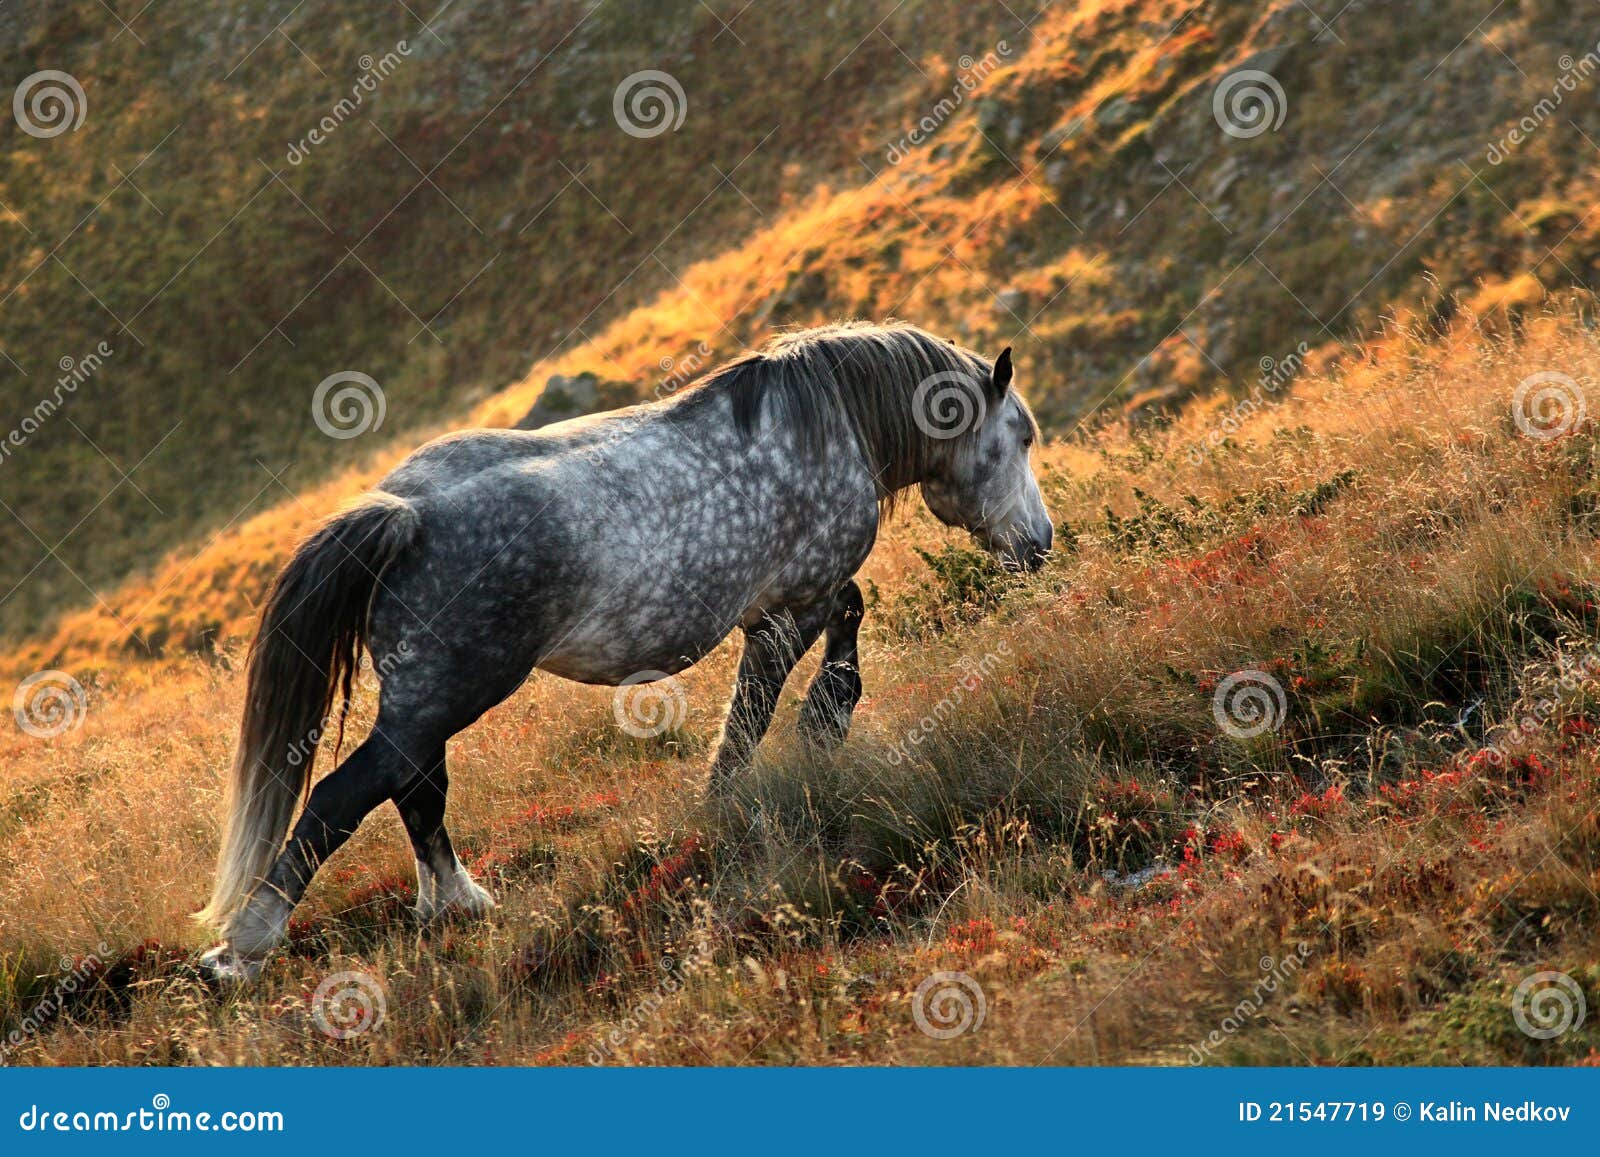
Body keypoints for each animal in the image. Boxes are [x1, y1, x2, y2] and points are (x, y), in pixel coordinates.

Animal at [198, 320, 1052, 979]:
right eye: (1019, 437)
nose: (1039, 544)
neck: (828, 424)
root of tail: (405, 511)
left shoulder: (791, 601)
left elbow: (823, 643)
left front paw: (806, 742)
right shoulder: (791, 607)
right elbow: (762, 701)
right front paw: (759, 776)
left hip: (425, 699)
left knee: (414, 786)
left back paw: (456, 904)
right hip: (452, 692)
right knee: (344, 796)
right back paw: (243, 951)